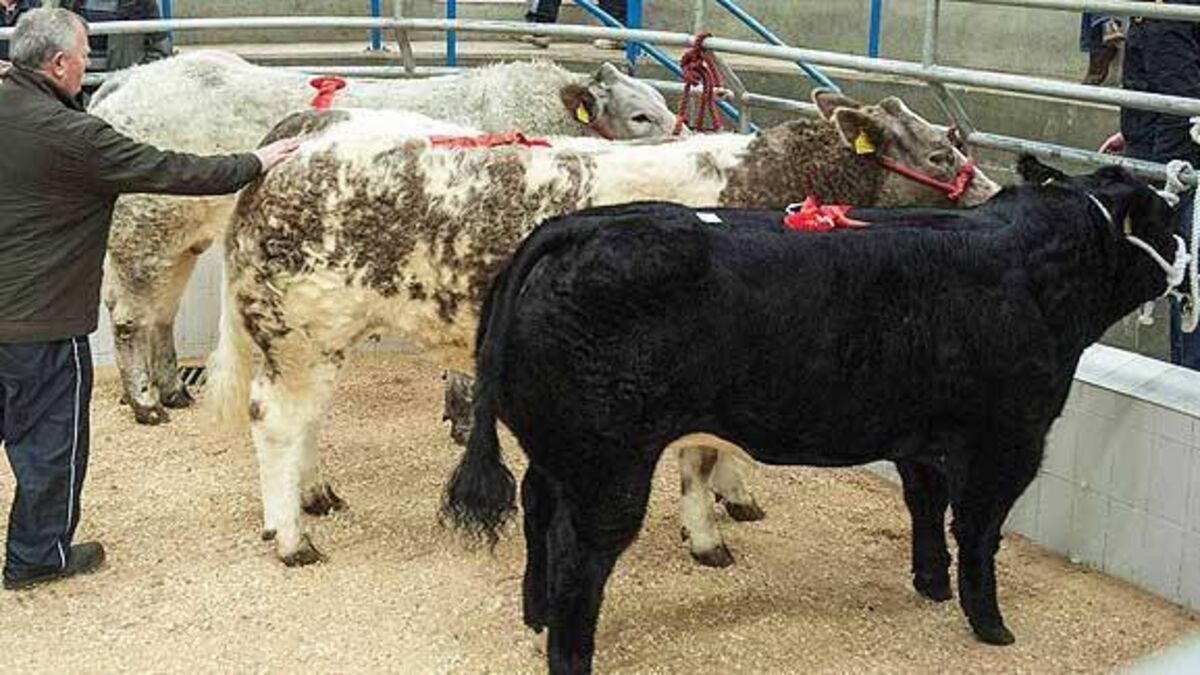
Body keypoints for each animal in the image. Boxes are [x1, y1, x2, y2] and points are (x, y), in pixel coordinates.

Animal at [90, 50, 678, 425]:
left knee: (160, 313)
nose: (689, 135)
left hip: (178, 236)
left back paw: (171, 389)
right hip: (143, 227)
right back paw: (145, 403)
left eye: (665, 105)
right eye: (641, 115)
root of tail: (129, 80)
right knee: (130, 317)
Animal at [204, 89, 1001, 566]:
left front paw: (736, 500)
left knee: (306, 421)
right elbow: (700, 458)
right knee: (277, 420)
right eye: (941, 154)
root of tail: (306, 131)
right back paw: (292, 536)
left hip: (317, 334)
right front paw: (707, 537)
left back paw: (315, 494)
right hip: (301, 324)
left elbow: (724, 453)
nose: (997, 198)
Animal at [442, 166, 1187, 673]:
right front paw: (992, 626)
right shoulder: (1012, 436)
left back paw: (534, 614)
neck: (1037, 266)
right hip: (608, 460)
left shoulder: (921, 435)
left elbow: (925, 506)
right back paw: (570, 651)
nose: (1182, 256)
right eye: (1164, 217)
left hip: (560, 447)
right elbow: (979, 531)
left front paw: (930, 584)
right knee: (580, 553)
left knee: (537, 510)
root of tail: (578, 226)